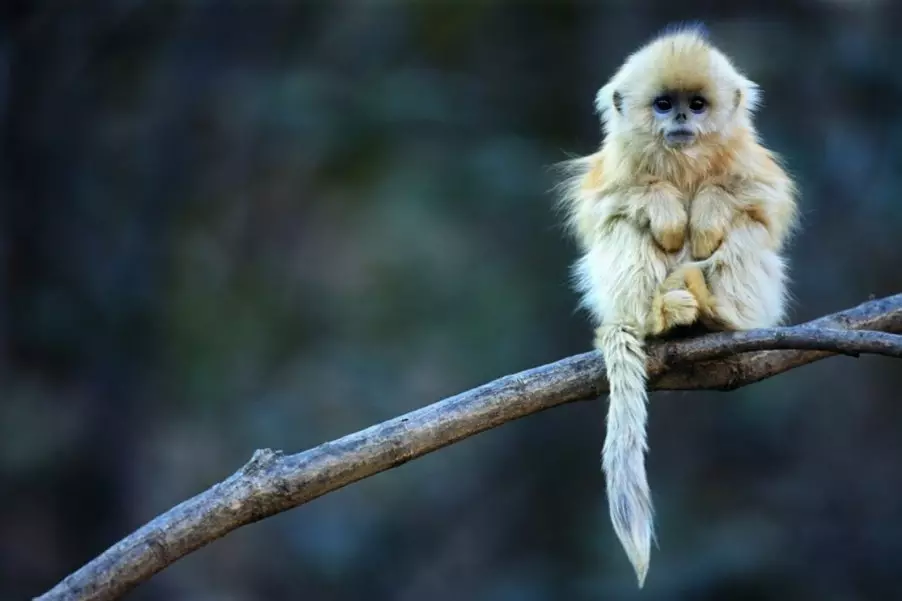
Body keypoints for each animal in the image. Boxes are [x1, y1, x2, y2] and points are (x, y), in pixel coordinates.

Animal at [556, 24, 800, 584]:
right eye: (664, 104)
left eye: (698, 104)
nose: (682, 120)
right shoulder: (614, 168)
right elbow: (605, 208)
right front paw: (667, 209)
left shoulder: (750, 161)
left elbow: (764, 203)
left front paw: (707, 211)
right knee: (624, 227)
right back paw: (660, 317)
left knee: (747, 229)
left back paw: (716, 314)